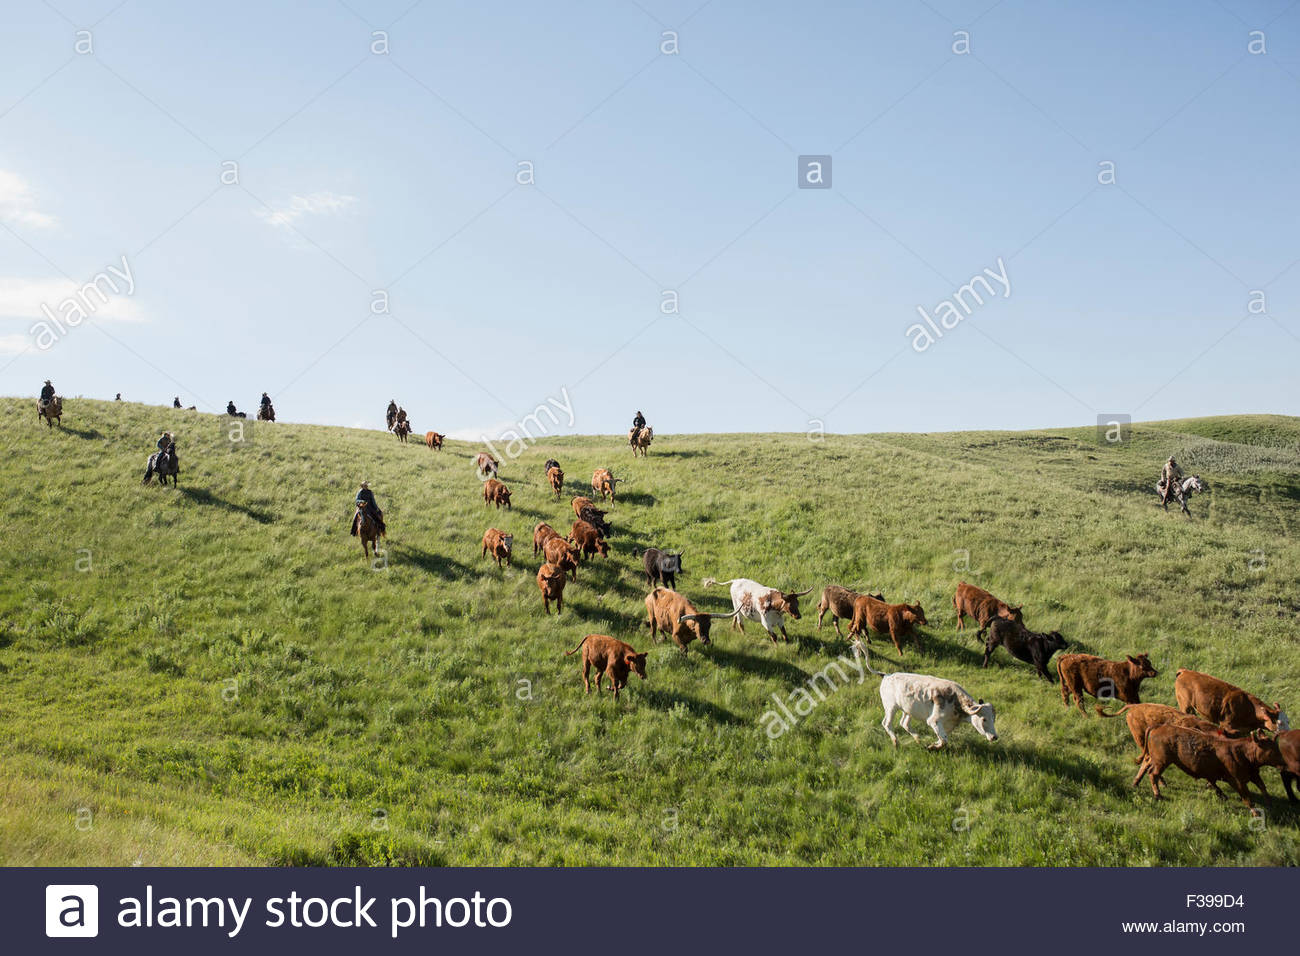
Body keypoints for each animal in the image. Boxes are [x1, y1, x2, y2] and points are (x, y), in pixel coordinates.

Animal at [862, 647, 997, 749]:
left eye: (993, 718)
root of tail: (886, 675)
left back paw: (918, 740)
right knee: (886, 723)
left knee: (904, 723)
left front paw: (933, 744)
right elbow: (944, 740)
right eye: (984, 719)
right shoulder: (933, 721)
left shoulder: (946, 726)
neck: (955, 701)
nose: (995, 737)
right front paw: (932, 747)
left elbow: (942, 738)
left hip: (907, 710)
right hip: (891, 707)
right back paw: (896, 742)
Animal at [1133, 725, 1280, 807]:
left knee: (1145, 764)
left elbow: (1263, 787)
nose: (1282, 761)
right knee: (1153, 774)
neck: (1242, 751)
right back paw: (1158, 795)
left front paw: (1270, 804)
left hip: (1155, 758)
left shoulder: (1254, 775)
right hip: (1162, 761)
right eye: (1271, 750)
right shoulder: (1237, 781)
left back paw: (1136, 783)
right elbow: (1247, 798)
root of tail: (1158, 727)